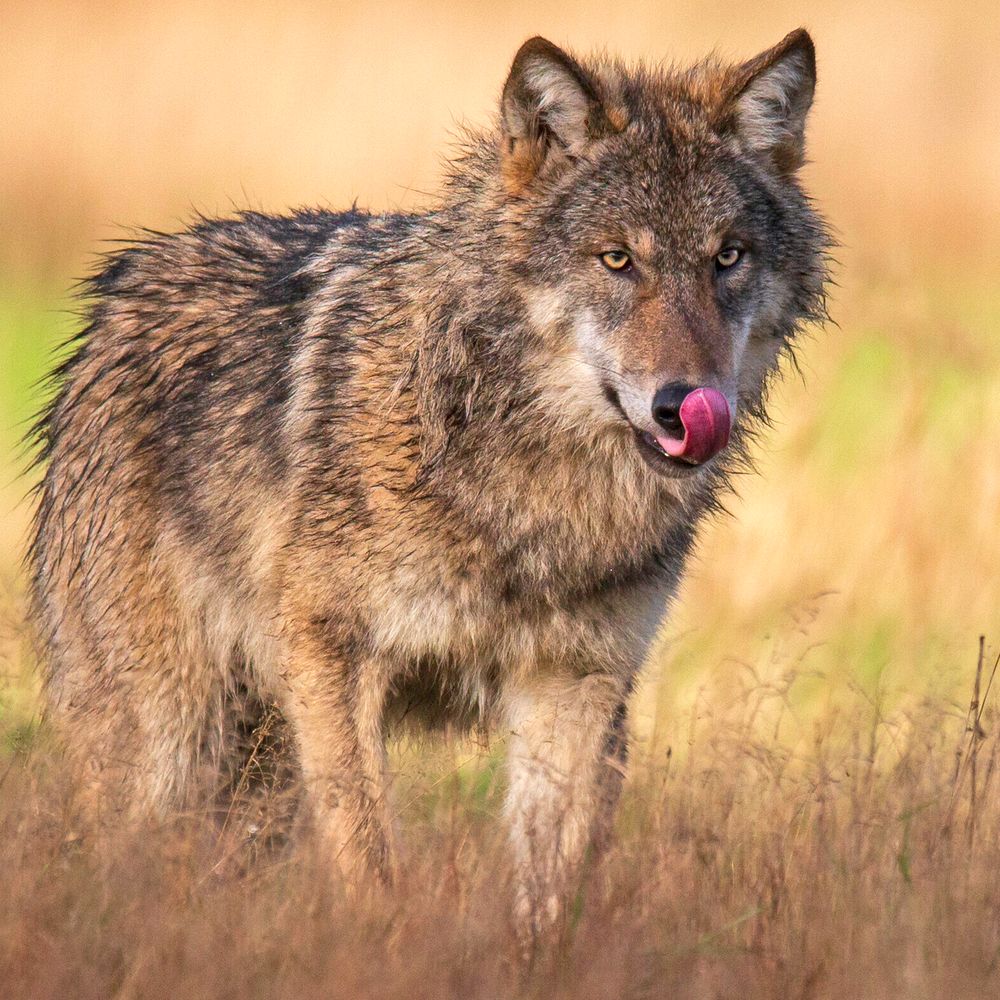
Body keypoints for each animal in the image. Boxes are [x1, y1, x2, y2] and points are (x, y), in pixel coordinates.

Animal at [28, 30, 828, 931]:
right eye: (618, 260)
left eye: (728, 258)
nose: (685, 405)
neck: (531, 487)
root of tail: (114, 295)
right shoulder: (335, 657)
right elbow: (369, 859)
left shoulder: (576, 686)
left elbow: (549, 892)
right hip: (168, 742)